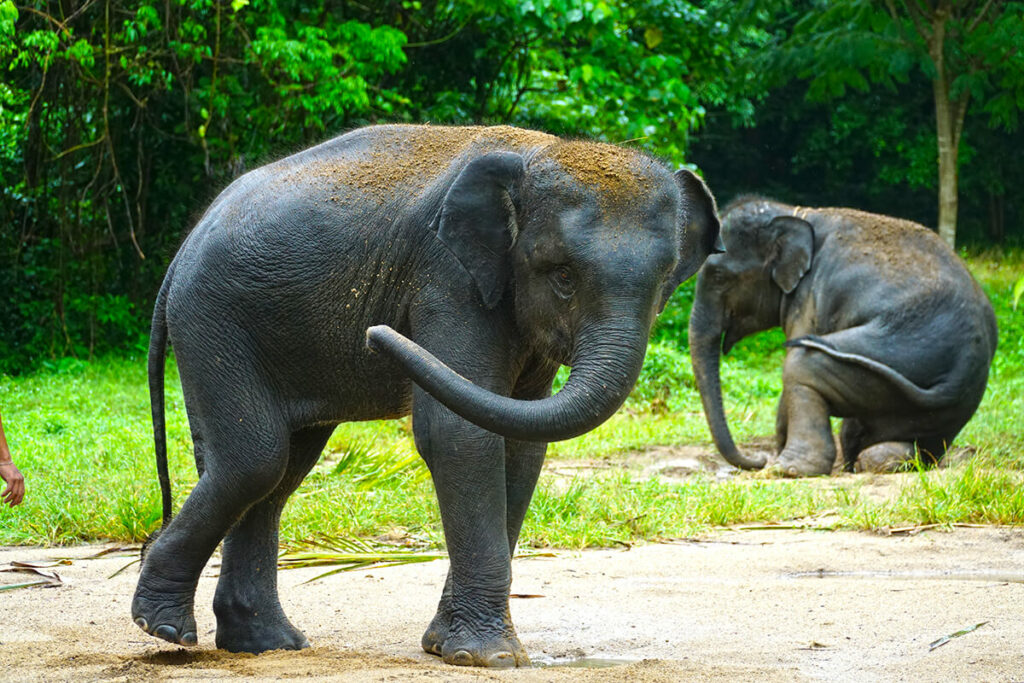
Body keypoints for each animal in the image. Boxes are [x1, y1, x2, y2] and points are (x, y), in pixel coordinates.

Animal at [133, 124, 722, 667]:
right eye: (562, 276)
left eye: (665, 281)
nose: (375, 333)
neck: (537, 151)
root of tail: (182, 250)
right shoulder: (448, 280)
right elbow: (460, 433)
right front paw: (489, 658)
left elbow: (521, 444)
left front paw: (448, 648)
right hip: (214, 322)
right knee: (254, 460)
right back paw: (165, 629)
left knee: (278, 471)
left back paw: (266, 644)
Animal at [689, 197, 997, 477]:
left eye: (718, 275)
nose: (759, 460)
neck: (795, 212)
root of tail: (965, 363)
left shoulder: (808, 299)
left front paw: (775, 459)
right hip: (943, 407)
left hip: (903, 350)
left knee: (801, 365)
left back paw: (789, 469)